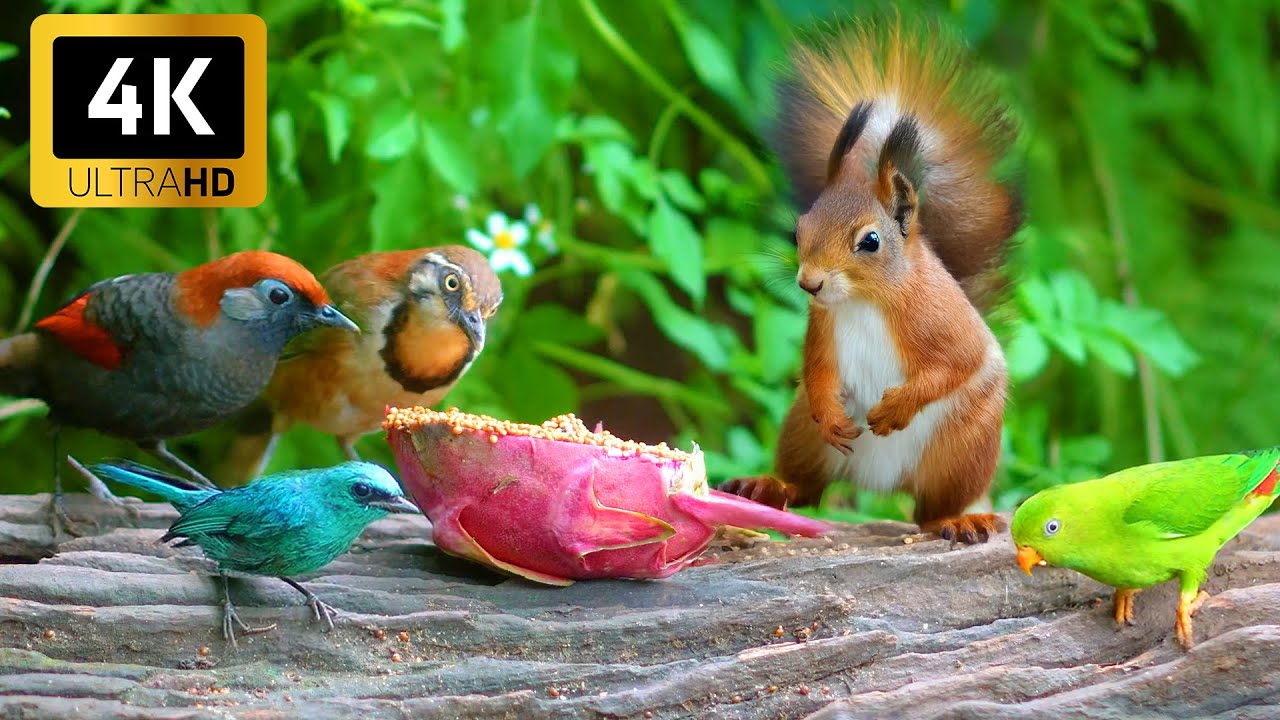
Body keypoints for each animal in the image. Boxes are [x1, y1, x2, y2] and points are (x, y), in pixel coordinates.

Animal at [719, 15, 1023, 544]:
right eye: (798, 230)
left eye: (871, 241)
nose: (809, 284)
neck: (865, 299)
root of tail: (879, 482)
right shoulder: (823, 325)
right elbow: (817, 369)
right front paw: (832, 413)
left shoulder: (945, 320)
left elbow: (957, 361)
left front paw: (897, 408)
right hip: (801, 431)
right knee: (806, 488)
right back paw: (767, 486)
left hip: (962, 447)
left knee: (929, 511)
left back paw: (957, 519)